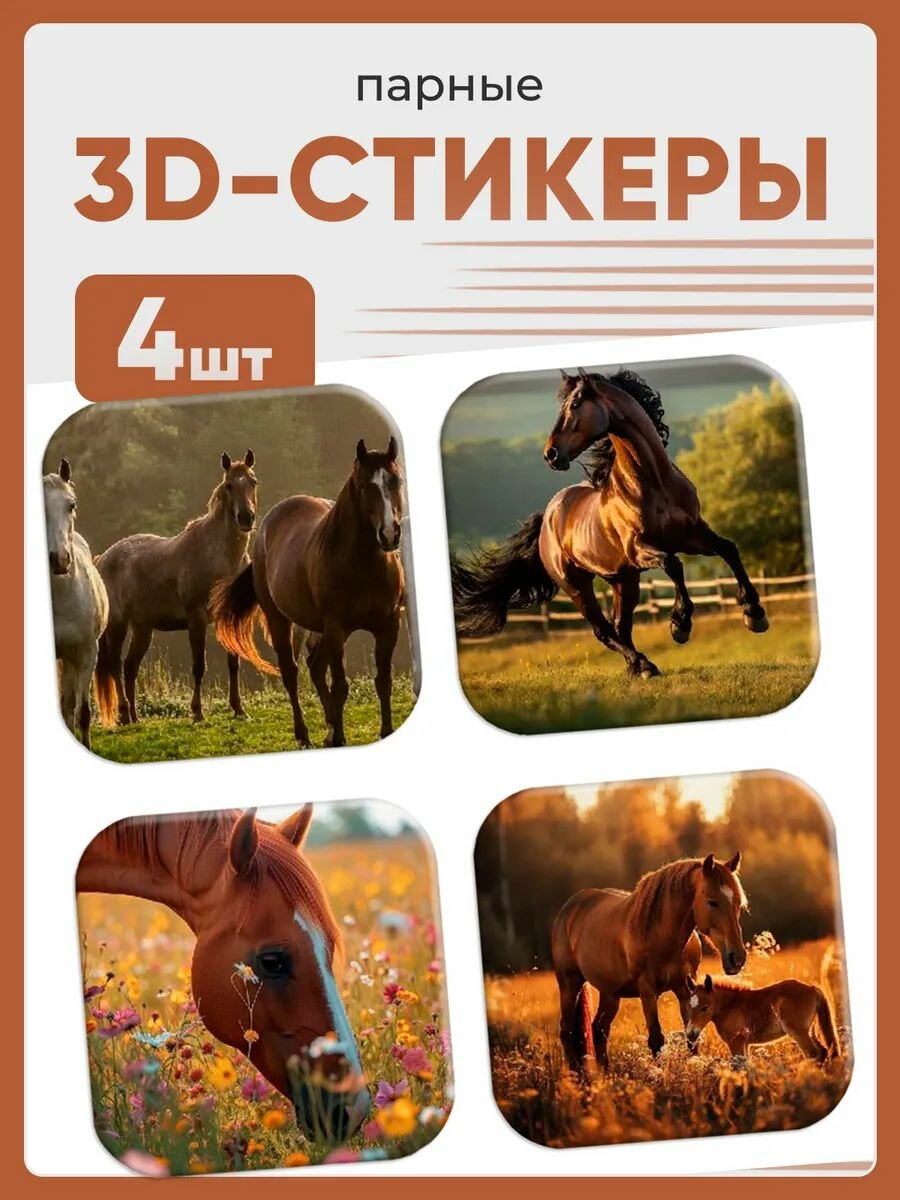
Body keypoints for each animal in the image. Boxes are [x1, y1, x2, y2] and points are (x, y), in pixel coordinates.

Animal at [94, 451, 258, 727]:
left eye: (253, 482)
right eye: (229, 485)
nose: (246, 518)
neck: (219, 557)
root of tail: (102, 559)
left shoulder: (225, 617)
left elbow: (233, 663)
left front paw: (239, 709)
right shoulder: (197, 619)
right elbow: (198, 666)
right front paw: (197, 712)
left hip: (143, 628)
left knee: (130, 667)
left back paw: (135, 717)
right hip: (118, 624)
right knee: (116, 665)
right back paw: (125, 713)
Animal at [211, 438, 405, 749]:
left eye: (396, 480)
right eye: (366, 485)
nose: (389, 534)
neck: (363, 565)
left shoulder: (388, 625)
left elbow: (382, 681)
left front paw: (384, 731)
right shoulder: (337, 629)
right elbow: (340, 686)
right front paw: (339, 736)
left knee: (315, 666)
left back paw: (328, 727)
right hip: (281, 620)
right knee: (292, 672)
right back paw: (305, 734)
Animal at [451, 368, 768, 680]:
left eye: (575, 404)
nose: (550, 454)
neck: (655, 482)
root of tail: (547, 518)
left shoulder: (692, 535)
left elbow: (729, 549)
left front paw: (754, 614)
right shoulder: (640, 548)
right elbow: (673, 564)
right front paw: (680, 624)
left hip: (623, 581)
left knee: (620, 627)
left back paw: (638, 668)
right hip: (576, 585)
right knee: (603, 630)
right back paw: (645, 665)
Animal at [550, 853, 748, 1071]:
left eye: (738, 903)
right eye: (712, 902)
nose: (737, 958)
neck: (661, 935)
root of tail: (568, 909)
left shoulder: (685, 990)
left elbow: (692, 1038)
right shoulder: (647, 990)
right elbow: (656, 1039)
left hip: (610, 993)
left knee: (599, 1029)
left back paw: (604, 1074)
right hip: (569, 984)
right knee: (566, 1030)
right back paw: (576, 1073)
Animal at [685, 972, 839, 1062]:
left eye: (705, 1008)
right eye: (689, 1006)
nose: (691, 1034)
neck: (730, 1005)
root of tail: (812, 988)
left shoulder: (736, 1042)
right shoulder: (745, 1044)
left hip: (798, 1032)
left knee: (812, 1054)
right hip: (810, 1030)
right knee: (823, 1052)